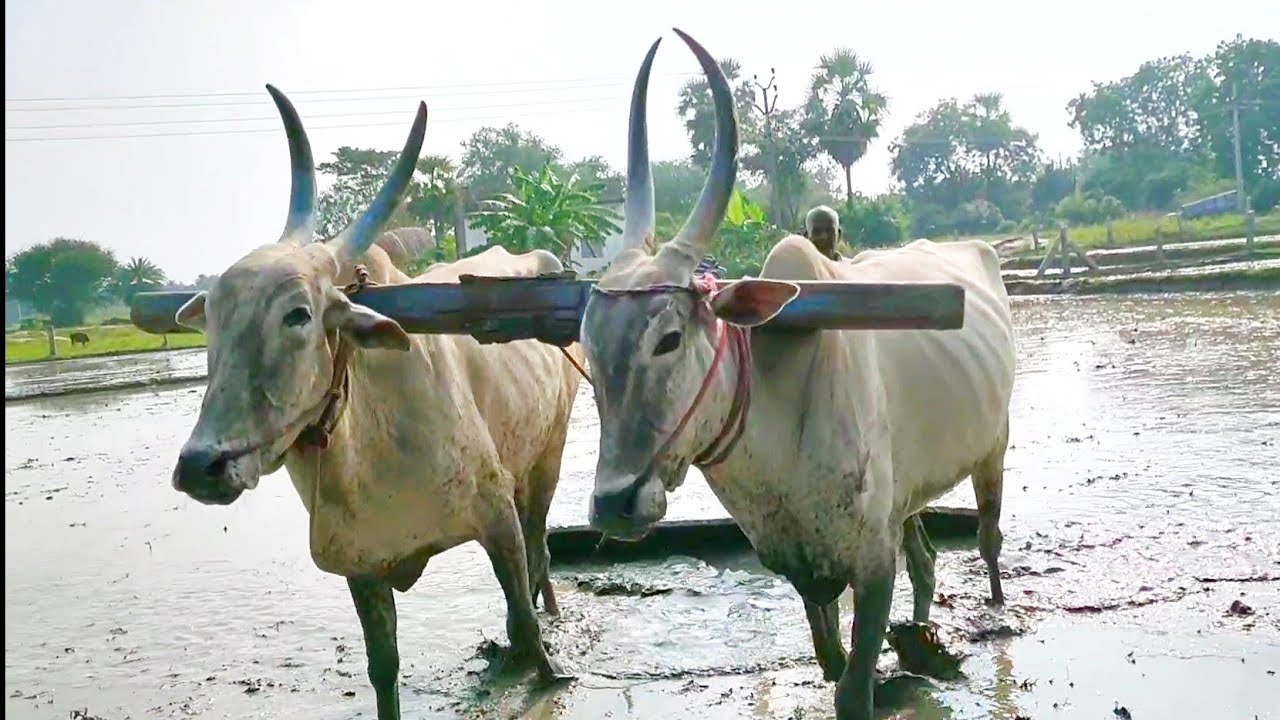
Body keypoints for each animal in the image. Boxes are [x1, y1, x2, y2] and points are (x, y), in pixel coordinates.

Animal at [168, 85, 582, 719]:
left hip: (548, 458)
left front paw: (545, 668)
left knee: (540, 551)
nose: (200, 466)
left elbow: (524, 621)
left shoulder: (496, 519)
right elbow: (382, 668)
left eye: (298, 314)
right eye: (211, 314)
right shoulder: (360, 564)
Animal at [579, 30, 1016, 720]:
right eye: (587, 346)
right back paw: (921, 637)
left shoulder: (871, 564)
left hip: (994, 446)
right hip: (911, 492)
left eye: (668, 338)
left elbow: (853, 689)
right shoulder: (801, 566)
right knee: (925, 561)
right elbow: (831, 658)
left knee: (990, 540)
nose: (613, 504)